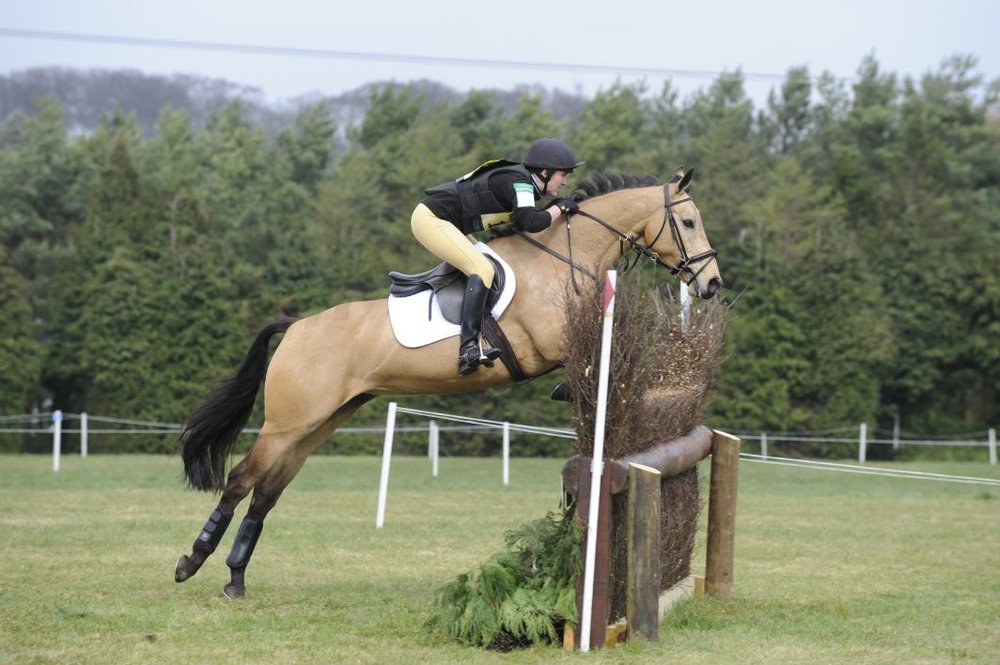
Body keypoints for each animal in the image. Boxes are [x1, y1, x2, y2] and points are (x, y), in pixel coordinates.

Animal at [173, 168, 722, 599]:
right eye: (688, 223)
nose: (711, 283)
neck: (563, 257)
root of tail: (296, 327)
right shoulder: (550, 345)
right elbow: (585, 370)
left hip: (321, 422)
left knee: (267, 491)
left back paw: (236, 577)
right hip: (288, 423)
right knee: (241, 479)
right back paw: (192, 561)